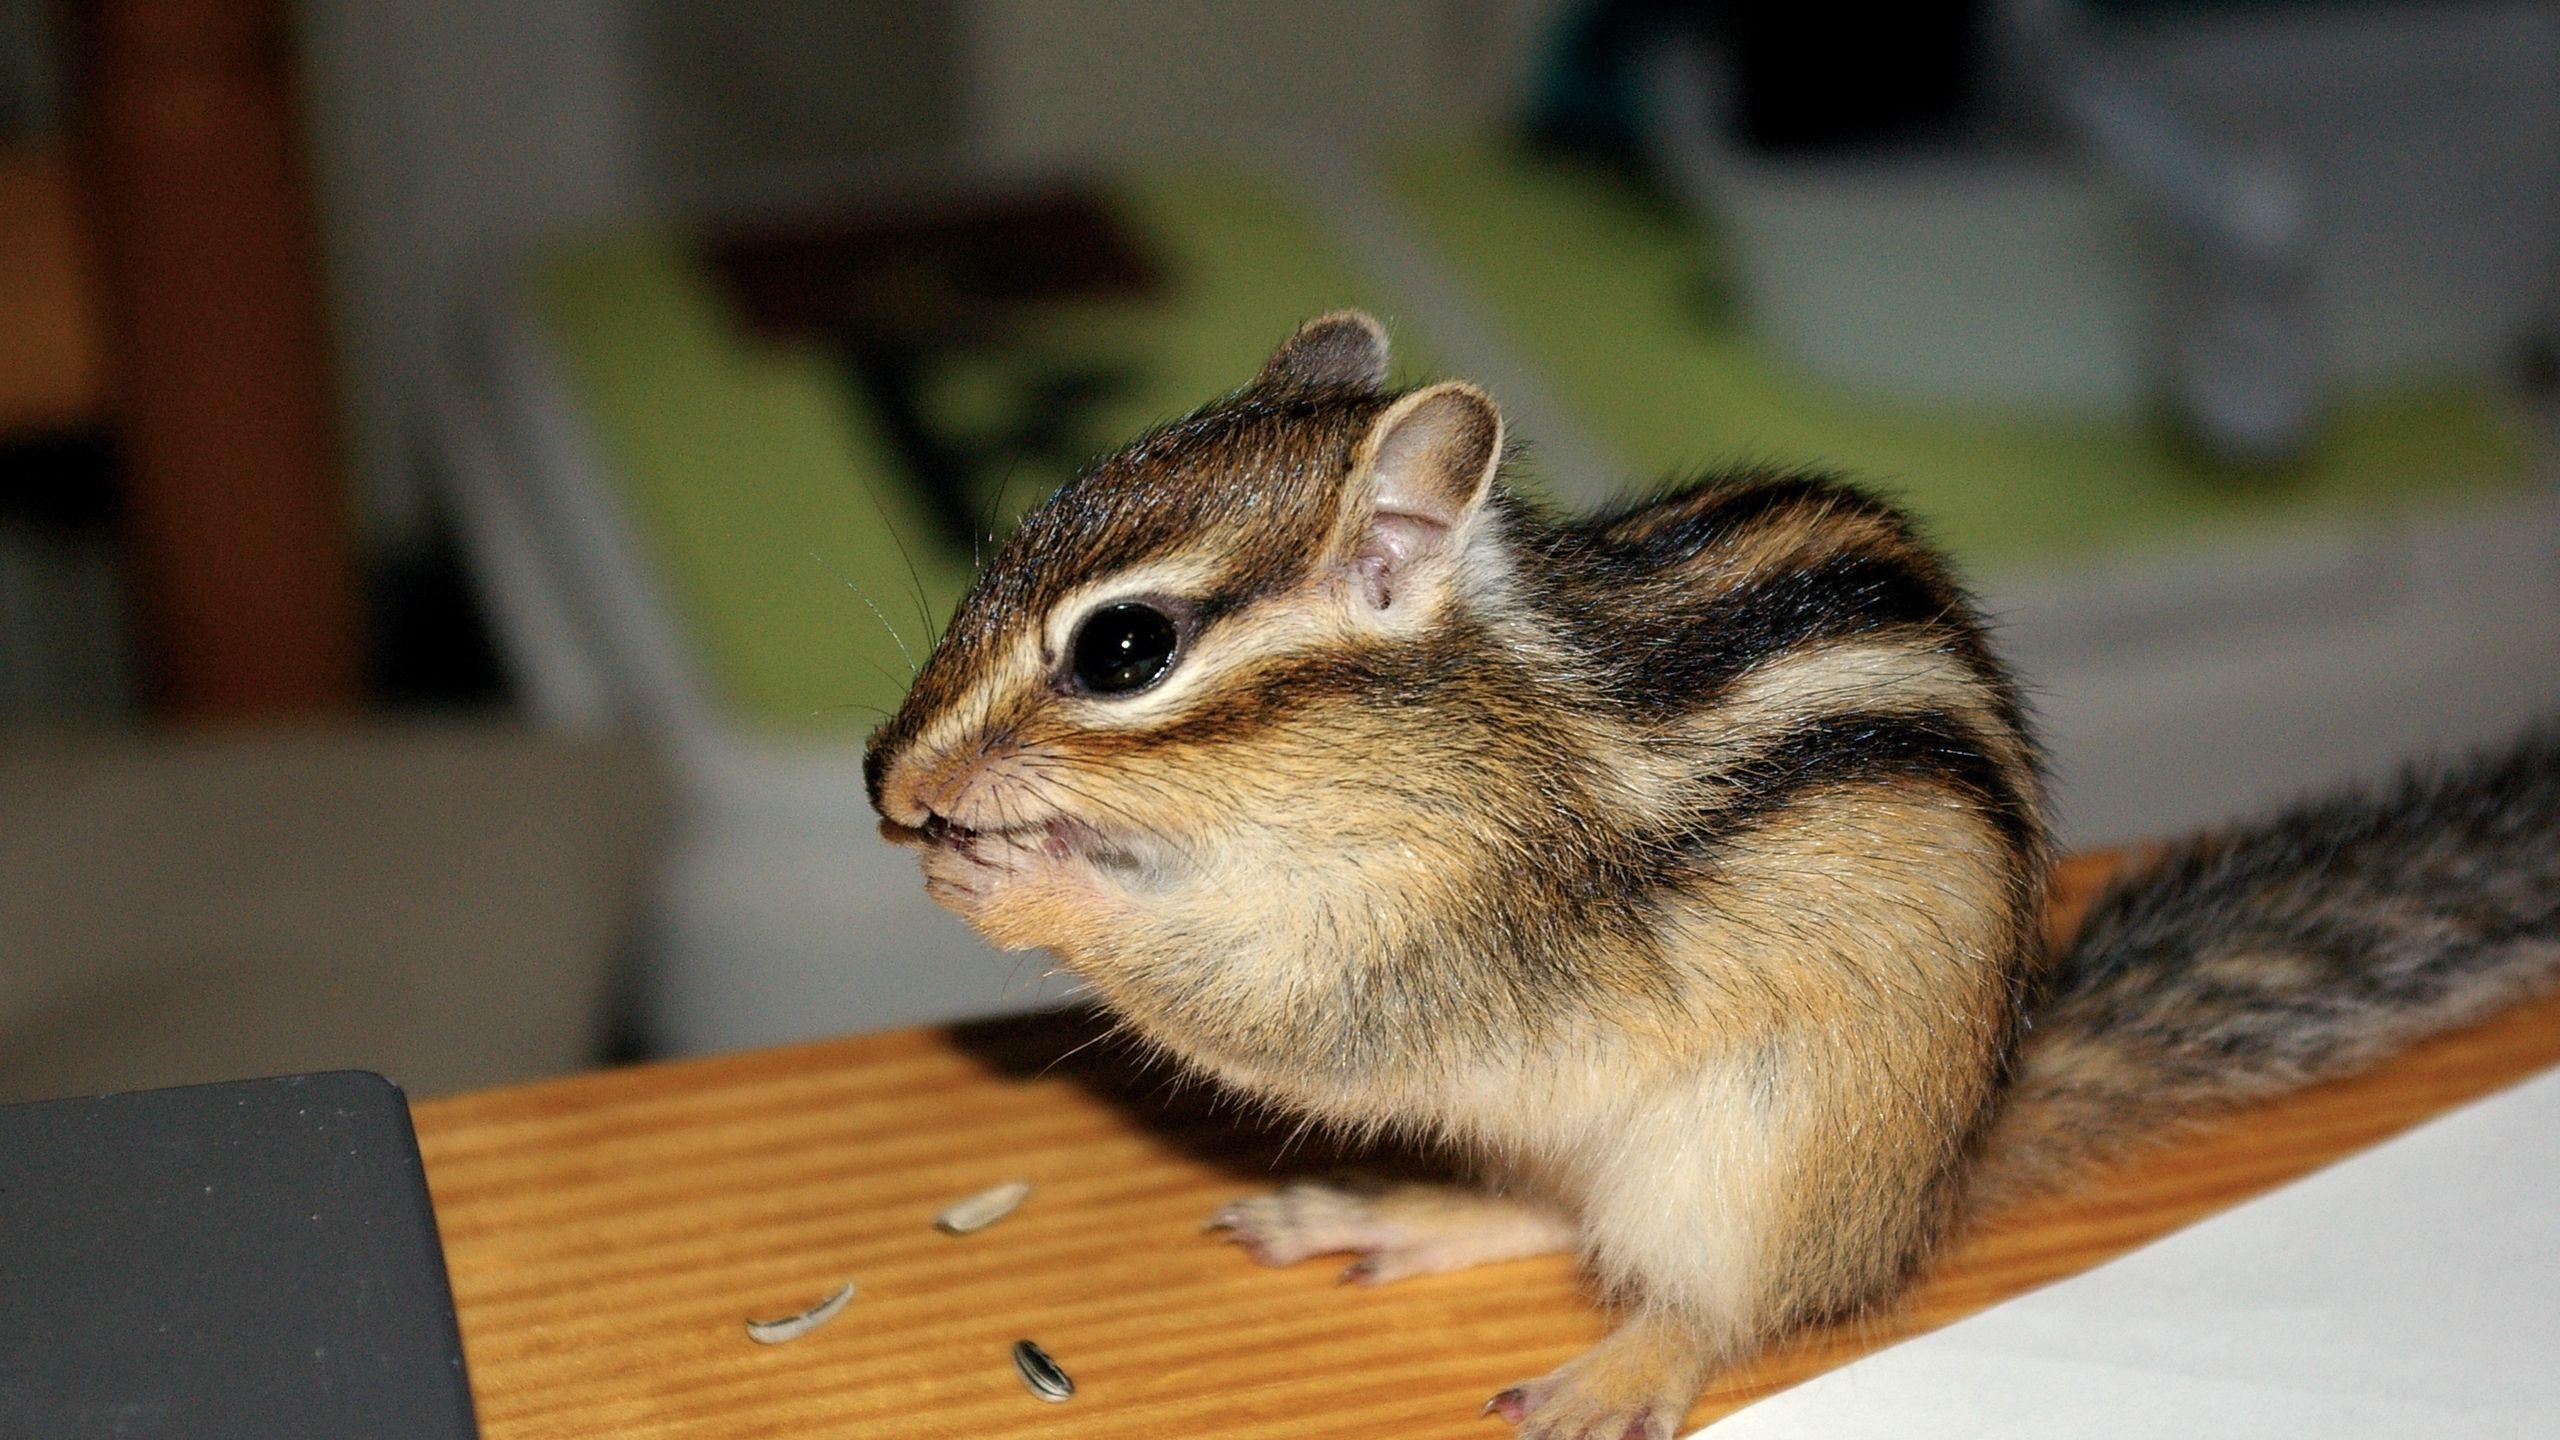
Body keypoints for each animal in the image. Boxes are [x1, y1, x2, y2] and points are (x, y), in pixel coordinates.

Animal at [865, 311, 2560, 1438]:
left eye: (1124, 649)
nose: (888, 784)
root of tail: (1939, 1178)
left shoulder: (1457, 929)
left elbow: (1281, 1013)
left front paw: (1018, 885)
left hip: (1753, 1163)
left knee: (1714, 1302)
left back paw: (1618, 1372)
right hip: (1580, 1141)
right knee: (1549, 1215)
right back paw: (1396, 1218)